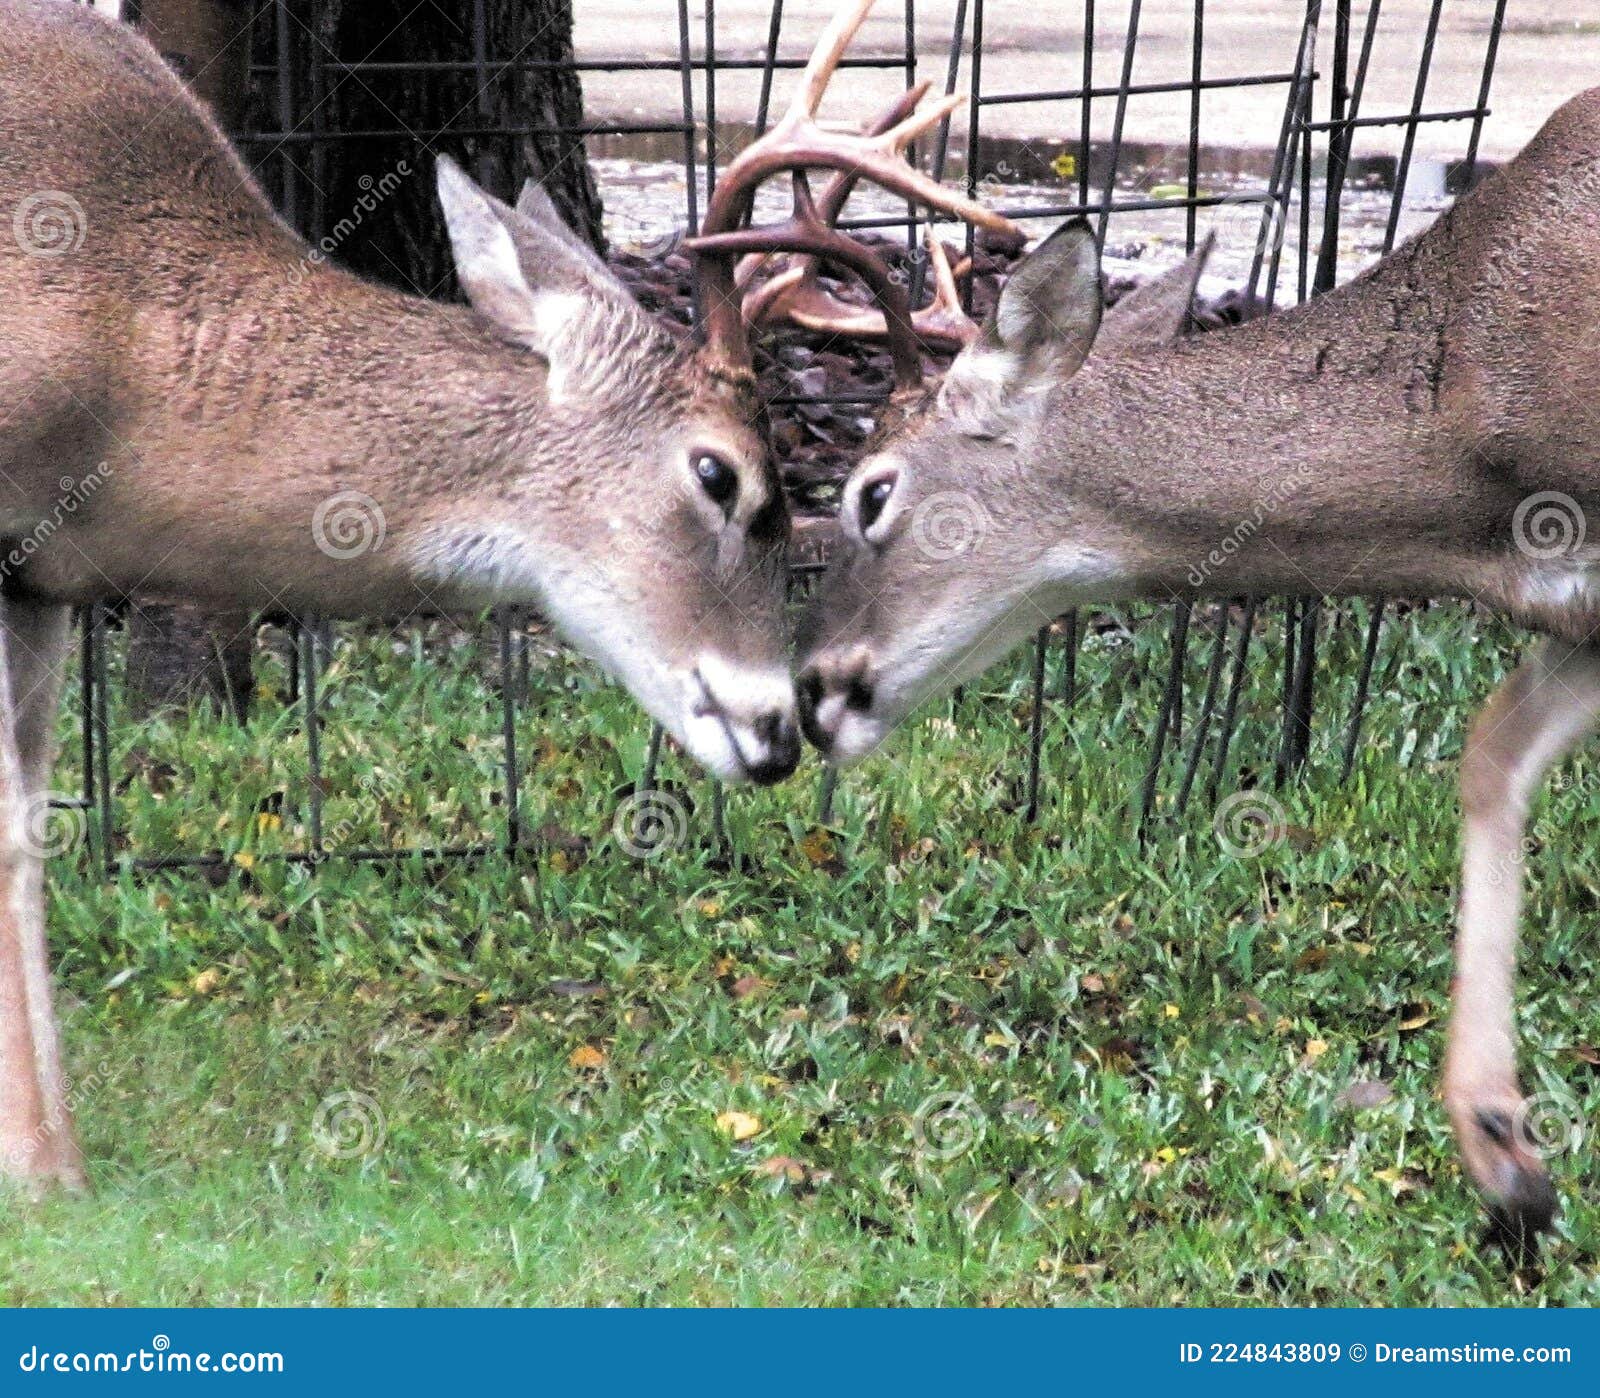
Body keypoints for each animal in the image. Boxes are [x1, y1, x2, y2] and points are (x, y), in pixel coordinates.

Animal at [0, 0, 1009, 1189]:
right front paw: (42, 1177)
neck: (126, 351)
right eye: (719, 475)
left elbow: (30, 832)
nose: (777, 734)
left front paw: (54, 1169)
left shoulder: (41, 579)